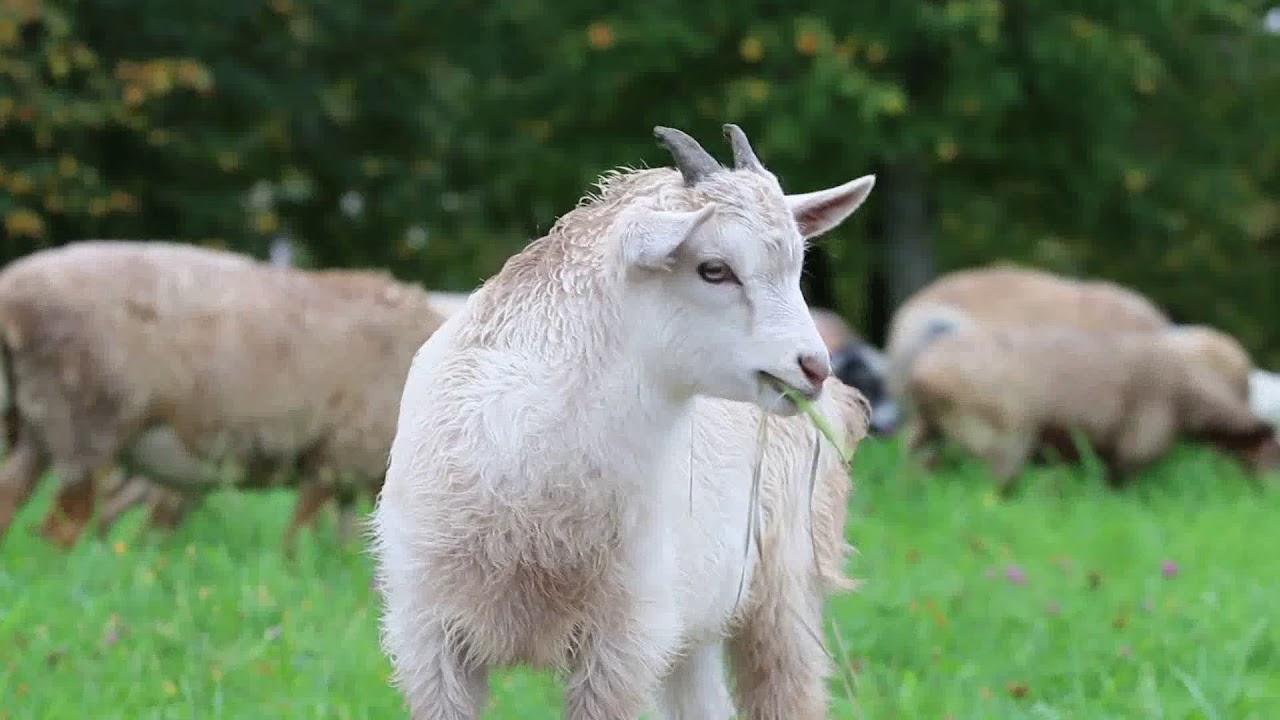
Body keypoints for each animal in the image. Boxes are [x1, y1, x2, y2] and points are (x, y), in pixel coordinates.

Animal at [0, 241, 446, 550]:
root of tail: (13, 294)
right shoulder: (337, 456)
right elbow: (296, 536)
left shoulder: (352, 472)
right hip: (84, 422)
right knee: (61, 526)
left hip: (39, 427)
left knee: (14, 499)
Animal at [370, 123, 877, 720]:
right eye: (714, 269)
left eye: (798, 266)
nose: (813, 367)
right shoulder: (429, 638)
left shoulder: (622, 639)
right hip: (696, 620)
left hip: (783, 586)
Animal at [904, 322, 1275, 494]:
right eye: (1273, 455)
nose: (1267, 499)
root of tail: (922, 372)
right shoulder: (1137, 447)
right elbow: (1122, 488)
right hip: (1004, 435)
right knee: (993, 490)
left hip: (926, 431)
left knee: (915, 467)